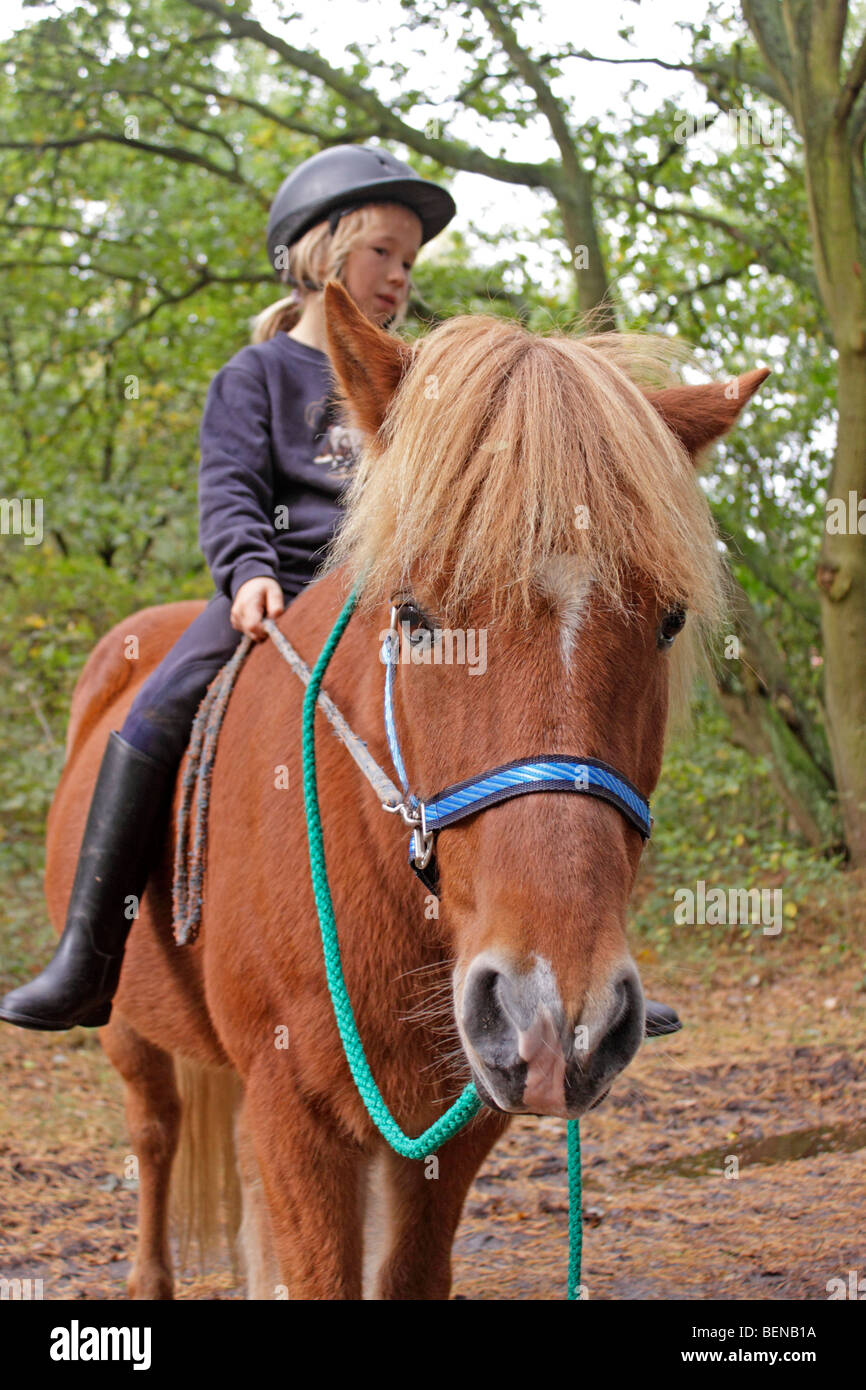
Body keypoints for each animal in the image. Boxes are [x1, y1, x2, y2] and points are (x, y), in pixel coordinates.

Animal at [41, 280, 768, 1299]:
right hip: (133, 1038)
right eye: (415, 616)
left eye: (667, 621)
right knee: (154, 1138)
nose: (556, 1013)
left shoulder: (453, 1121)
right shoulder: (297, 1111)